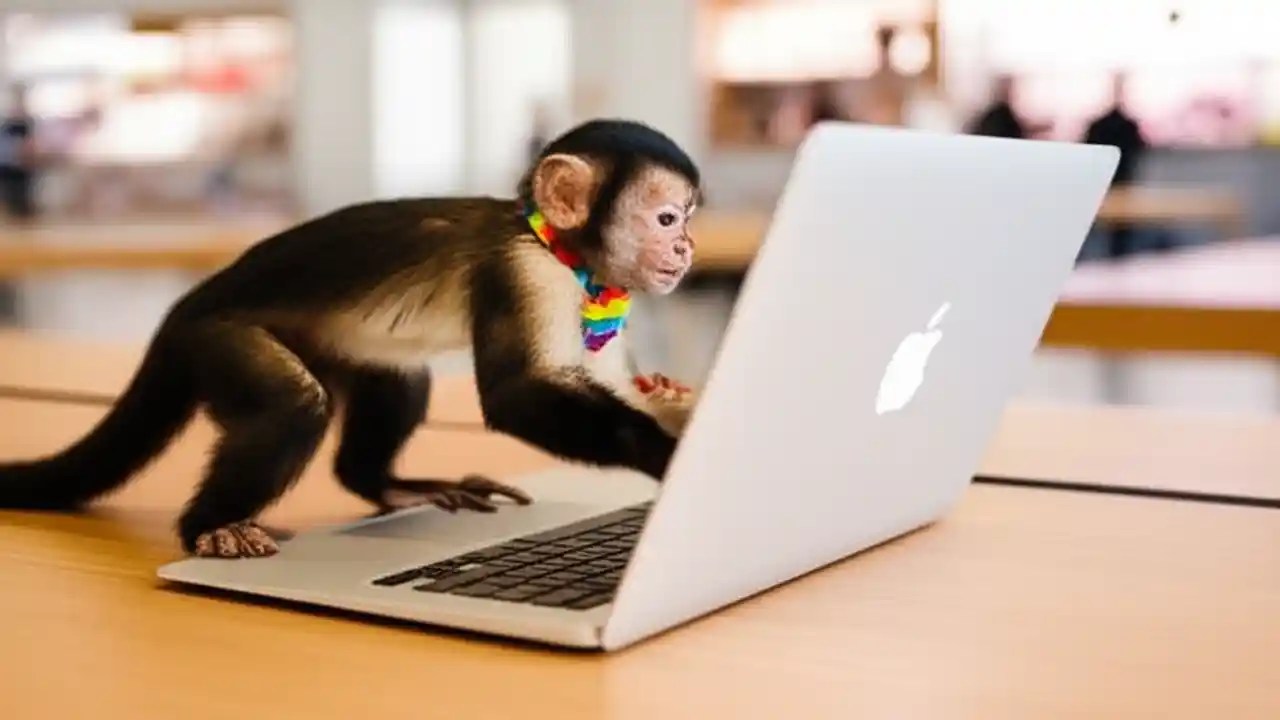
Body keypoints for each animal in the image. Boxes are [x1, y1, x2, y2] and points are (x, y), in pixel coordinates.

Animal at [0, 119, 702, 559]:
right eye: (667, 218)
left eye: (687, 219)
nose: (687, 248)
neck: (555, 245)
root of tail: (186, 307)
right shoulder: (525, 272)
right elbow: (514, 397)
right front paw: (664, 452)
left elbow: (606, 378)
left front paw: (677, 402)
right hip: (214, 338)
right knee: (293, 404)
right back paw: (209, 528)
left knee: (400, 379)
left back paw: (384, 484)